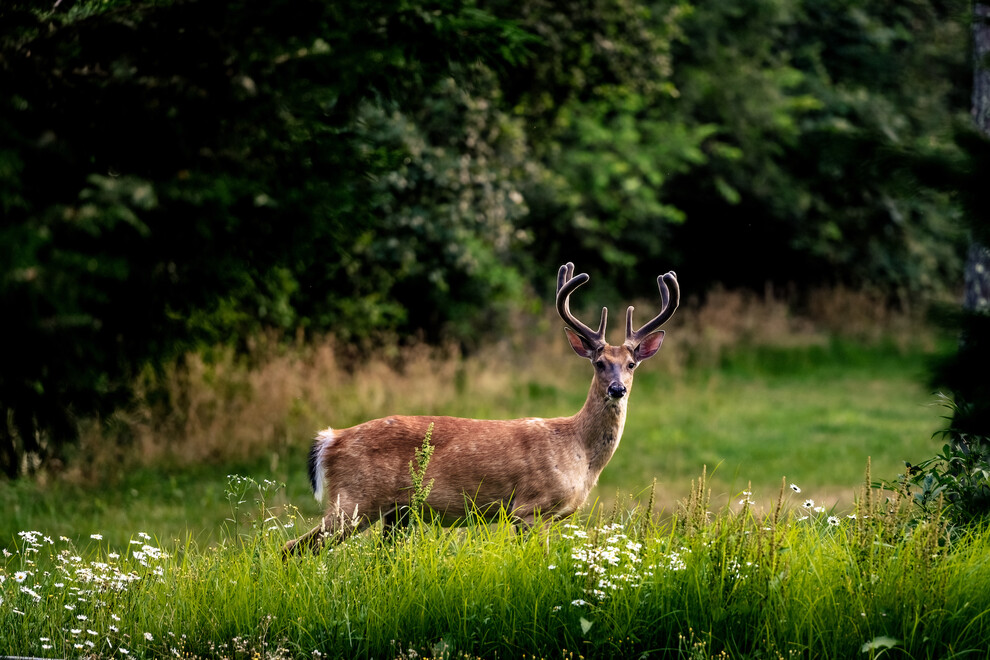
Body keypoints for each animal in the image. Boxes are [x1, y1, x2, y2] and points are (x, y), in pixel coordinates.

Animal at [283, 263, 679, 555]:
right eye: (599, 363)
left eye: (631, 364)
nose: (617, 389)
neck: (578, 452)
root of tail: (329, 439)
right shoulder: (530, 509)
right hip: (352, 500)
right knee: (292, 548)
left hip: (394, 513)